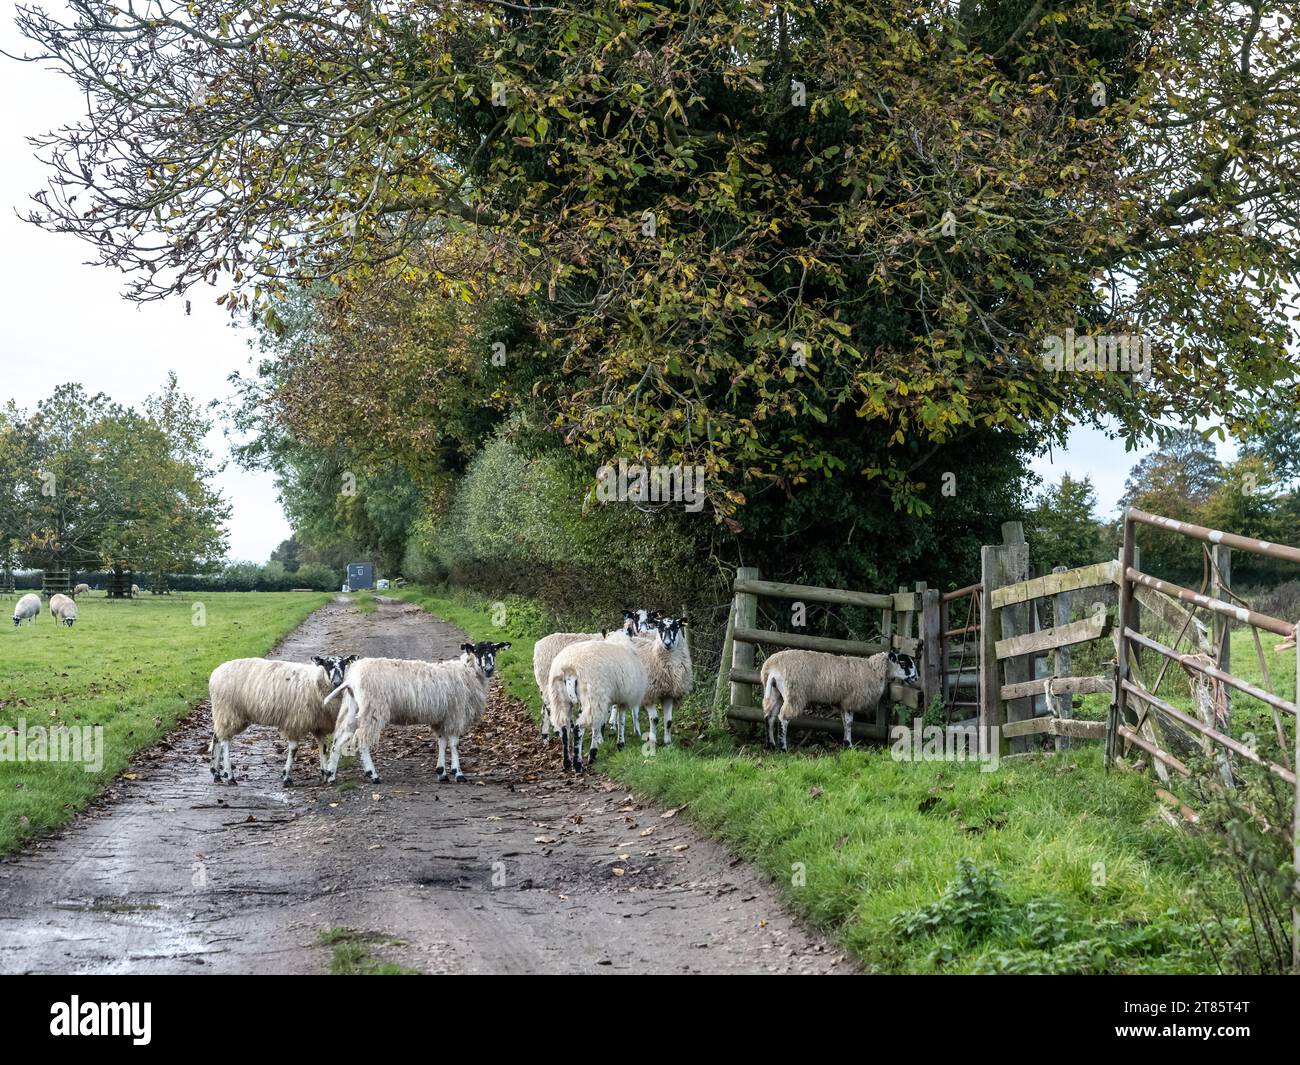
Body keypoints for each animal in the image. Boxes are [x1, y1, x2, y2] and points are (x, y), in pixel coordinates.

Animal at [208, 654, 357, 784]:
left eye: (344, 663)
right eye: (326, 664)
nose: (337, 682)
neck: (315, 682)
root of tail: (215, 673)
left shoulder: (318, 724)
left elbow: (323, 747)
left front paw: (325, 773)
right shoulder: (294, 722)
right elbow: (294, 749)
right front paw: (287, 777)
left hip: (225, 714)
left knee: (217, 737)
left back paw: (216, 774)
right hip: (228, 711)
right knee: (225, 742)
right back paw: (230, 776)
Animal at [324, 640, 511, 785]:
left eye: (494, 650)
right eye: (477, 651)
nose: (489, 669)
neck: (467, 672)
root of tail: (351, 679)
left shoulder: (441, 717)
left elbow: (442, 742)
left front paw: (441, 772)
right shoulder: (455, 714)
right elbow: (454, 744)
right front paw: (458, 773)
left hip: (355, 709)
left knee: (340, 739)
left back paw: (331, 775)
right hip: (373, 709)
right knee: (362, 740)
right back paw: (373, 775)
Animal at [547, 636, 646, 773]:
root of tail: (569, 667)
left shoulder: (607, 700)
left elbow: (601, 724)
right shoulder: (623, 699)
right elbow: (620, 721)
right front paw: (619, 744)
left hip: (560, 697)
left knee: (564, 727)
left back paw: (566, 762)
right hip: (593, 697)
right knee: (578, 728)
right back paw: (578, 764)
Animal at [760, 648, 919, 752]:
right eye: (904, 663)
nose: (917, 678)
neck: (873, 670)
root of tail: (772, 667)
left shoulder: (843, 703)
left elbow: (844, 722)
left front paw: (845, 742)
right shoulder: (850, 701)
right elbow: (849, 722)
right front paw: (849, 744)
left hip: (775, 693)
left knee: (770, 716)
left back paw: (771, 745)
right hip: (794, 693)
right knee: (783, 717)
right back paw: (783, 747)